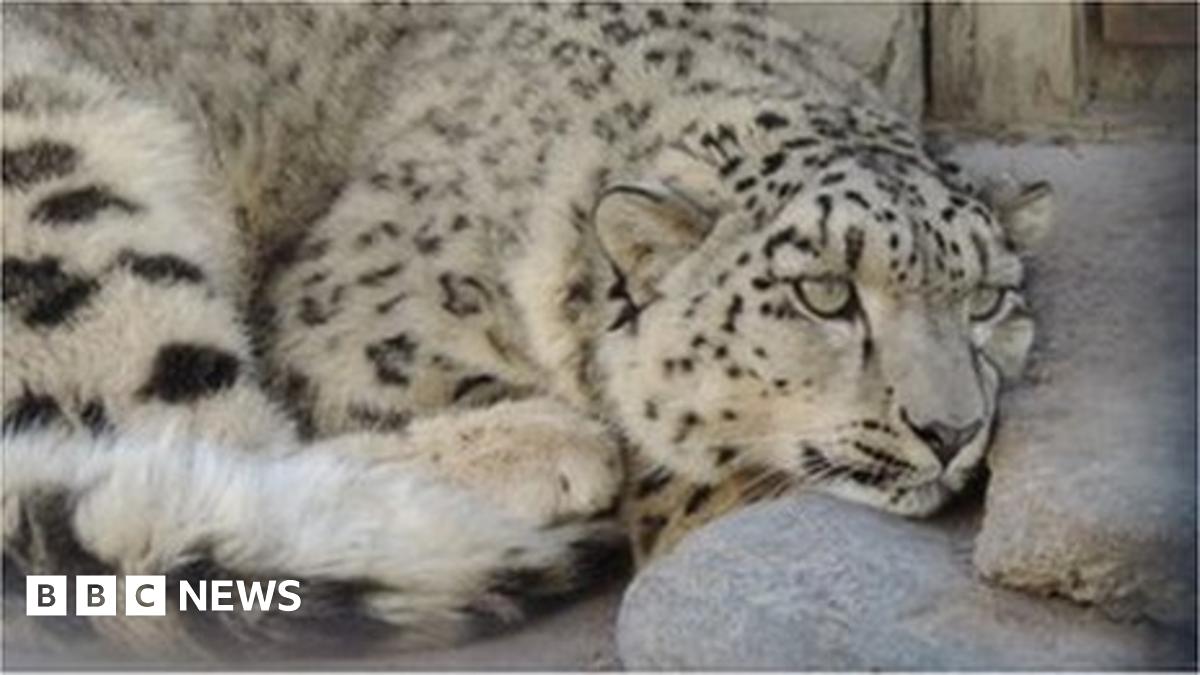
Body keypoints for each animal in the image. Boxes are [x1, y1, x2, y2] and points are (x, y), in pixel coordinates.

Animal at [1, 2, 1053, 661]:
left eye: (986, 300)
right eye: (826, 294)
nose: (953, 430)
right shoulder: (354, 316)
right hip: (55, 180)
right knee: (198, 433)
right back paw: (550, 454)